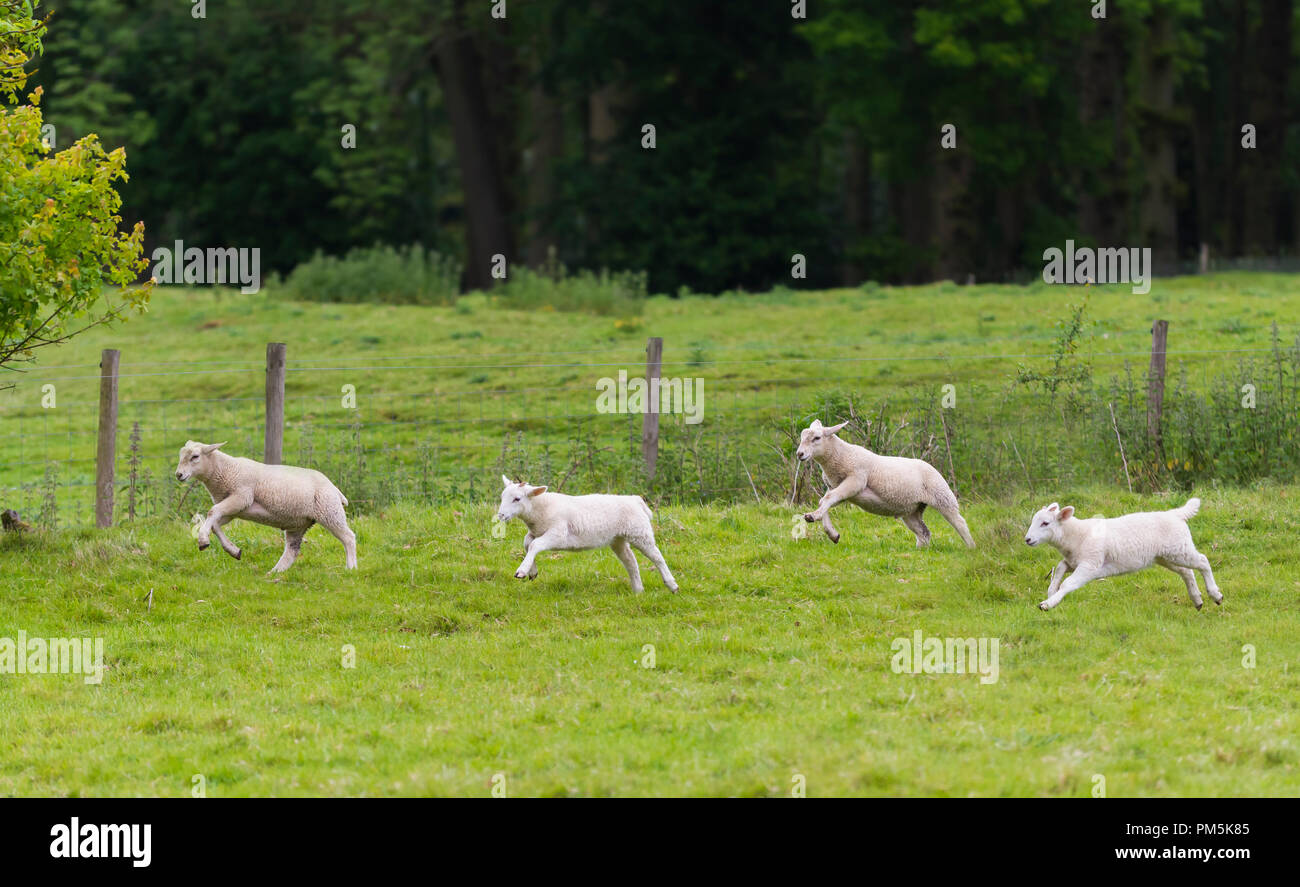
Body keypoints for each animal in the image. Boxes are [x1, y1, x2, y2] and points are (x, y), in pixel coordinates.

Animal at [174, 441, 357, 573]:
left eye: (195, 456)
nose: (179, 475)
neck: (224, 470)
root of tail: (335, 489)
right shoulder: (235, 509)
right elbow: (215, 523)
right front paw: (233, 551)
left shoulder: (241, 497)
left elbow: (212, 512)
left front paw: (202, 540)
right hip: (299, 522)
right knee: (292, 550)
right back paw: (274, 573)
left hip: (329, 511)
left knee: (349, 537)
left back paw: (351, 568)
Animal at [495, 475, 677, 593]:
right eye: (502, 496)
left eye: (517, 499)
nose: (501, 515)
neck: (540, 509)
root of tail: (635, 500)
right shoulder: (536, 531)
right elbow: (527, 543)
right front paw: (532, 572)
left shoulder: (559, 534)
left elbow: (534, 545)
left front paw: (522, 571)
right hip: (617, 538)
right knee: (630, 561)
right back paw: (638, 590)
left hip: (639, 532)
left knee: (657, 557)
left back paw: (672, 584)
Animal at [795, 419, 975, 548]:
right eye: (802, 437)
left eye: (817, 438)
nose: (799, 454)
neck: (839, 456)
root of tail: (931, 466)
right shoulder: (837, 487)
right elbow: (825, 501)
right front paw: (832, 533)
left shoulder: (856, 480)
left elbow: (827, 500)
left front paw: (814, 517)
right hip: (911, 509)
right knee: (924, 532)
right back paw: (920, 551)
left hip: (942, 495)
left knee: (959, 522)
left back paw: (971, 548)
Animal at [1023, 499, 1221, 611]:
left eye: (1045, 523)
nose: (1027, 539)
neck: (1075, 535)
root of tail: (1175, 514)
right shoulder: (1074, 561)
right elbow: (1059, 569)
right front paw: (1051, 593)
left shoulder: (1090, 564)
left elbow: (1068, 584)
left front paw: (1048, 604)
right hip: (1166, 556)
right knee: (1186, 572)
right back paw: (1197, 600)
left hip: (1179, 549)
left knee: (1203, 562)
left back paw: (1215, 594)